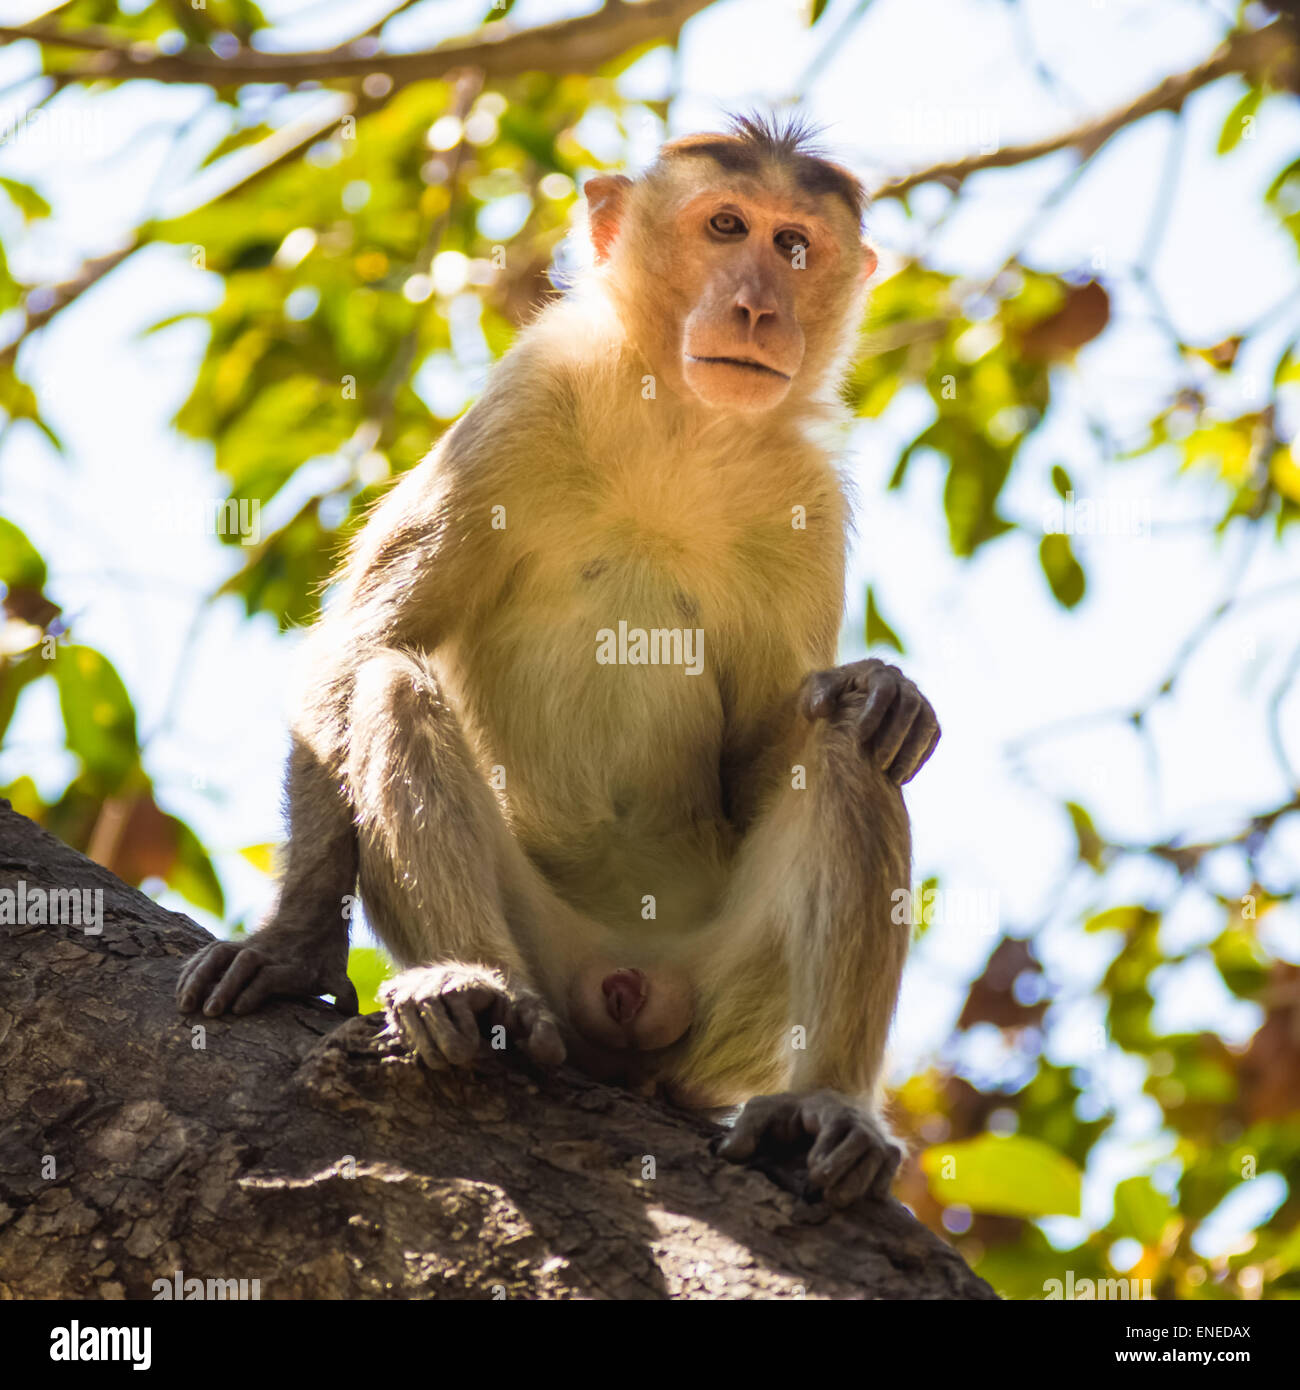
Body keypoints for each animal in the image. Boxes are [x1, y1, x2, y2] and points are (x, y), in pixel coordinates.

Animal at [177, 114, 940, 1208]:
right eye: (725, 226)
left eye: (795, 246)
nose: (758, 306)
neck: (680, 428)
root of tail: (628, 993)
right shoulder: (518, 410)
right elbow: (368, 641)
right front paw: (292, 938)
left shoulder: (808, 502)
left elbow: (769, 747)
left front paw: (881, 689)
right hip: (555, 953)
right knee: (393, 683)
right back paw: (477, 994)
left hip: (726, 1006)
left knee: (847, 751)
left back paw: (822, 1103)